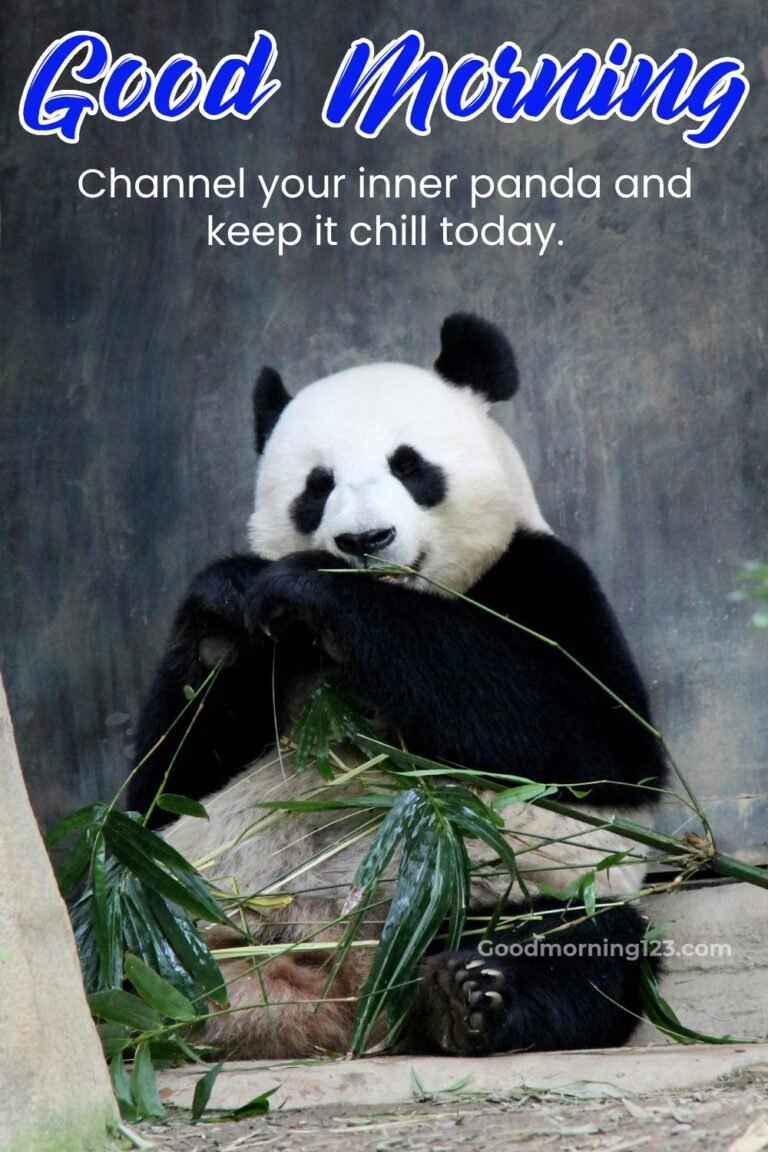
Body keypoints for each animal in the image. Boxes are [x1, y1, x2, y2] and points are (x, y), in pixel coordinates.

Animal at [128, 313, 666, 1060]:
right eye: (316, 485)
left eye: (410, 467)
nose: (364, 540)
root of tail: (335, 995)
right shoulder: (270, 671)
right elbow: (161, 791)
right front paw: (223, 609)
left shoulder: (542, 578)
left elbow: (598, 743)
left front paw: (318, 588)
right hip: (183, 918)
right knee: (125, 934)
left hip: (509, 892)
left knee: (586, 950)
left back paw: (468, 997)